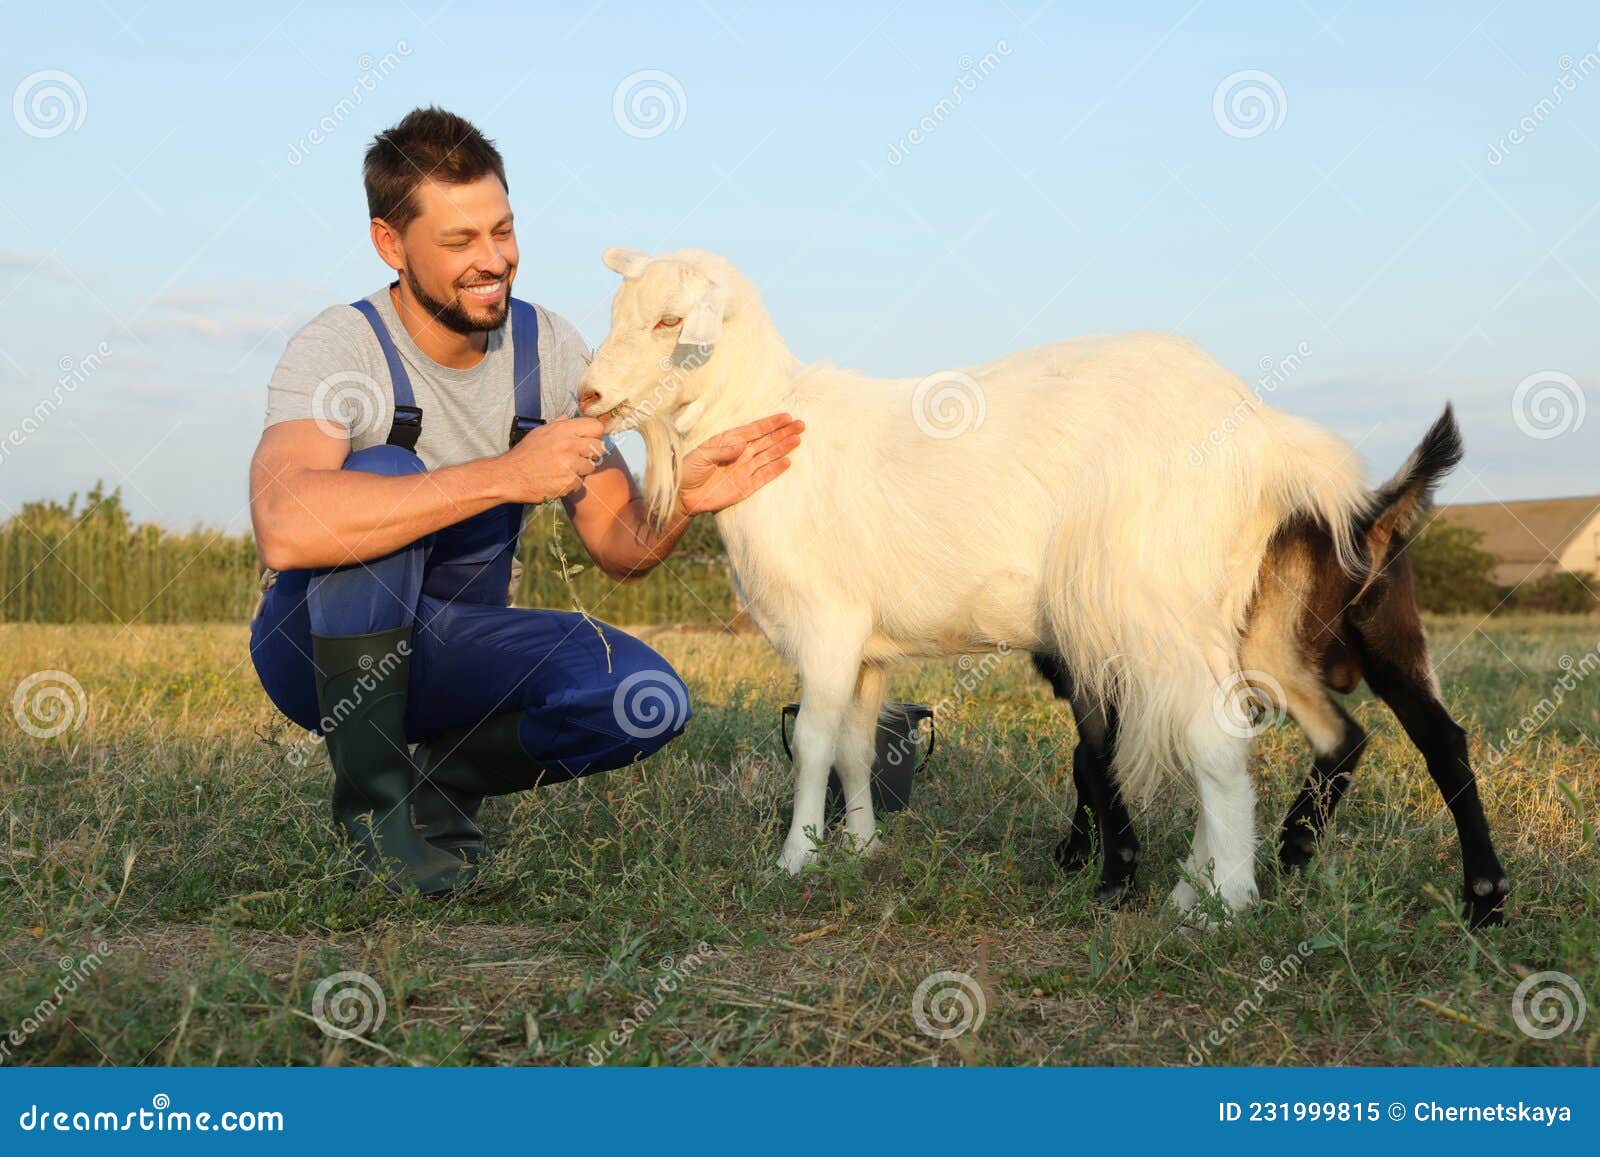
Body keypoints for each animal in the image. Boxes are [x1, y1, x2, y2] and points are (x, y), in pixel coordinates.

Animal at [580, 246, 1375, 918]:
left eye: (670, 320)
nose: (587, 395)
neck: (768, 426)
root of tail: (1264, 433)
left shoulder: (828, 625)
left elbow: (811, 742)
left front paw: (795, 858)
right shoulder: (866, 648)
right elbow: (856, 747)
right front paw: (863, 847)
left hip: (1157, 602)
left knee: (1214, 735)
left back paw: (1224, 904)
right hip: (1216, 604)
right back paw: (1193, 888)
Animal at [1034, 407, 1510, 928]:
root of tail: (1364, 514)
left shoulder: (1098, 672)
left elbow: (1091, 759)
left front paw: (1107, 874)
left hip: (1267, 649)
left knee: (1343, 735)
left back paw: (1293, 847)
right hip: (1391, 641)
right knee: (1443, 741)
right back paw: (1485, 897)